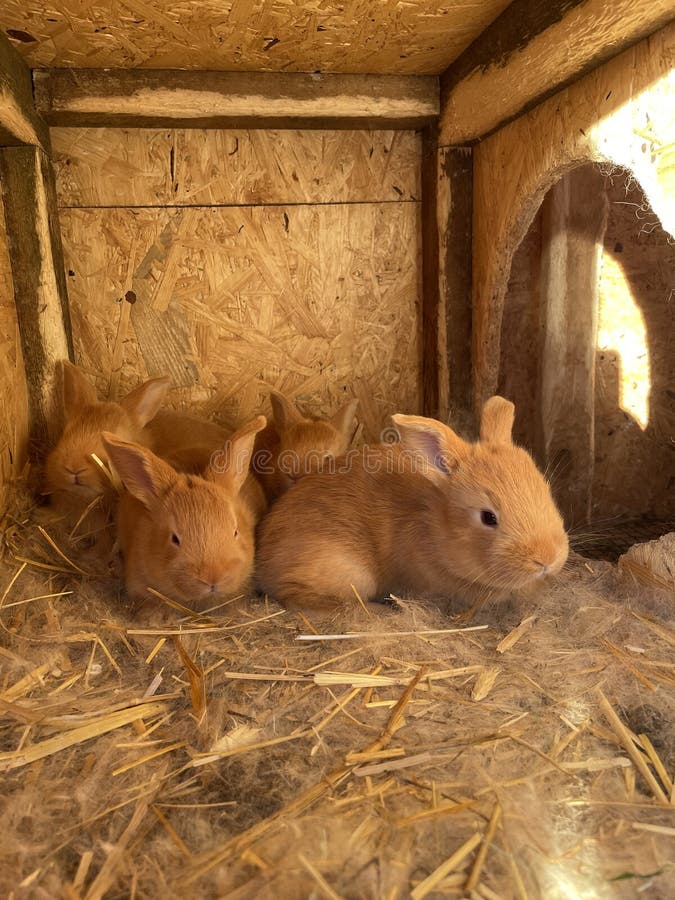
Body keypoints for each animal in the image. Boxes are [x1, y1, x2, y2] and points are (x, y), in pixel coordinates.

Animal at [255, 396, 569, 612]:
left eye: (546, 490)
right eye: (488, 517)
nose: (547, 558)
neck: (434, 529)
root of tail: (264, 560)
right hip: (349, 573)